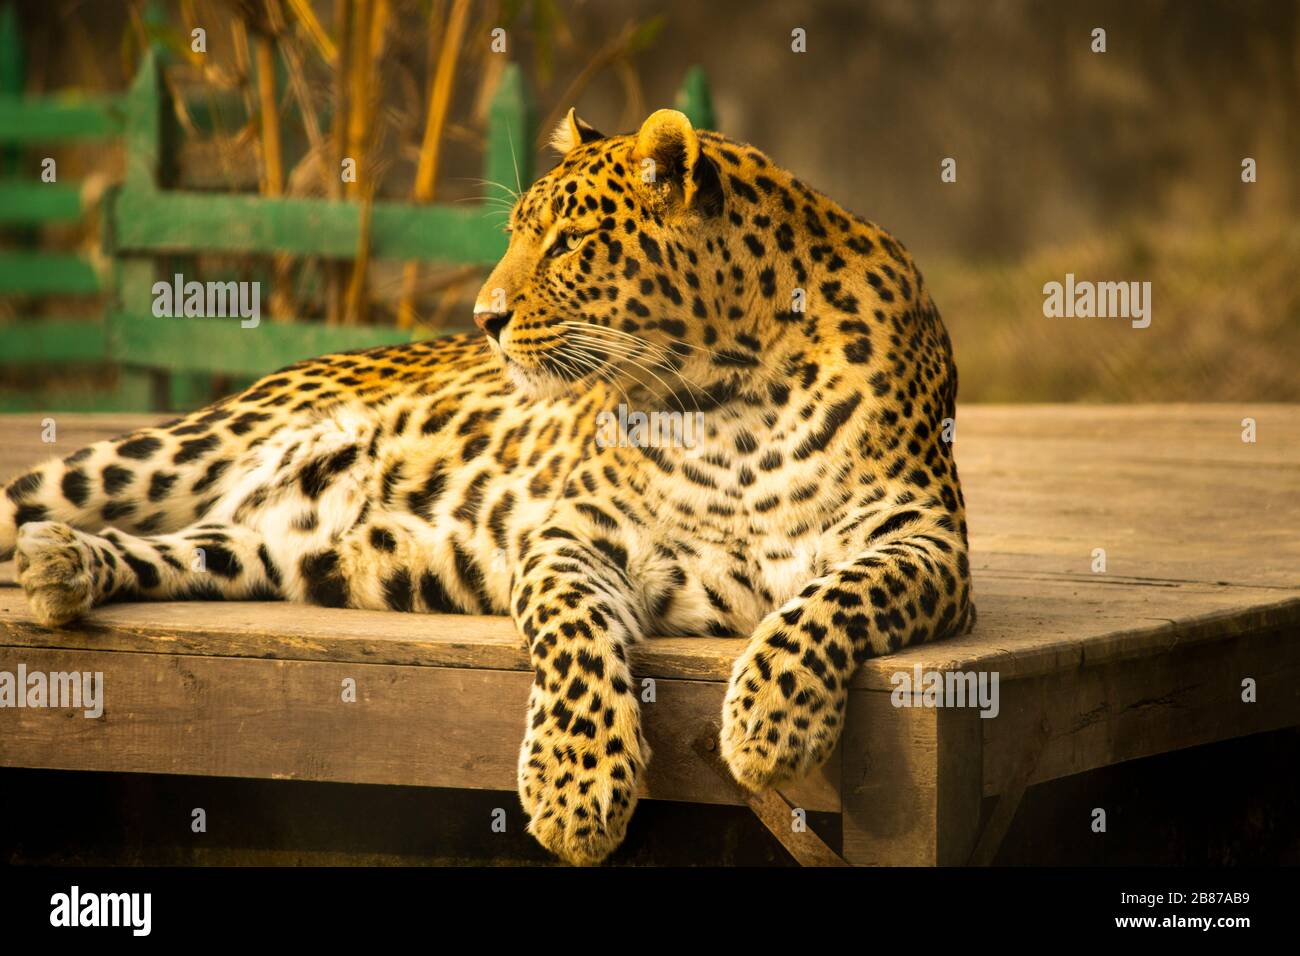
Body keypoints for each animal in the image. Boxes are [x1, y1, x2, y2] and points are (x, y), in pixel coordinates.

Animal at [0, 107, 974, 865]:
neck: (732, 395)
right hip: (177, 450)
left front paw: (774, 719)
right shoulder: (571, 536)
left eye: (570, 242)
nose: (484, 318)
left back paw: (63, 567)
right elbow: (575, 641)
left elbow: (836, 598)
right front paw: (575, 788)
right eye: (515, 234)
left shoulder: (930, 539)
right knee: (30, 495)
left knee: (167, 549)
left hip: (264, 551)